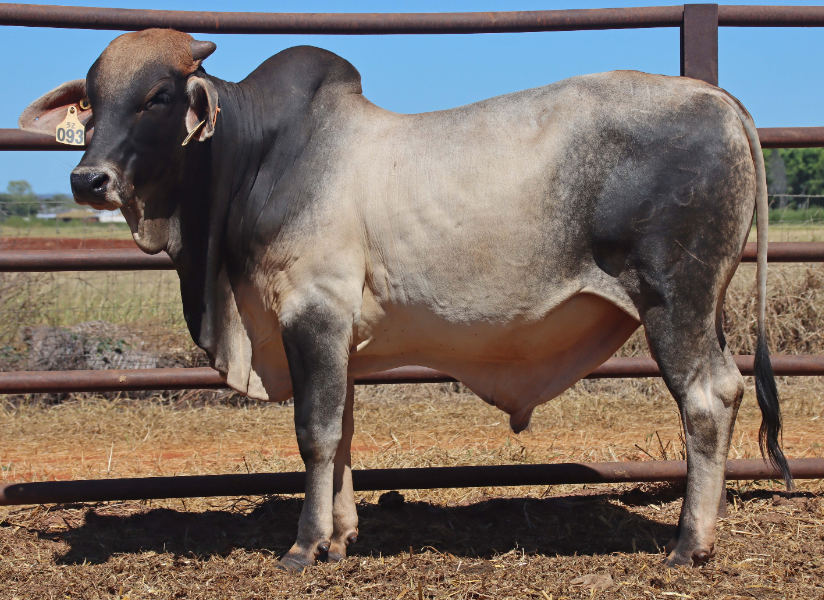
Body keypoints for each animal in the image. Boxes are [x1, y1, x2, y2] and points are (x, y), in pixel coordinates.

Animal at [21, 29, 790, 570]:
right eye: (91, 101)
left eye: (157, 96)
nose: (88, 179)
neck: (254, 160)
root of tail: (718, 99)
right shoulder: (336, 337)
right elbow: (342, 431)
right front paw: (342, 537)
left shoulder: (312, 313)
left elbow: (314, 432)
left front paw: (304, 547)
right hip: (704, 309)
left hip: (674, 301)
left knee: (708, 398)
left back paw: (689, 544)